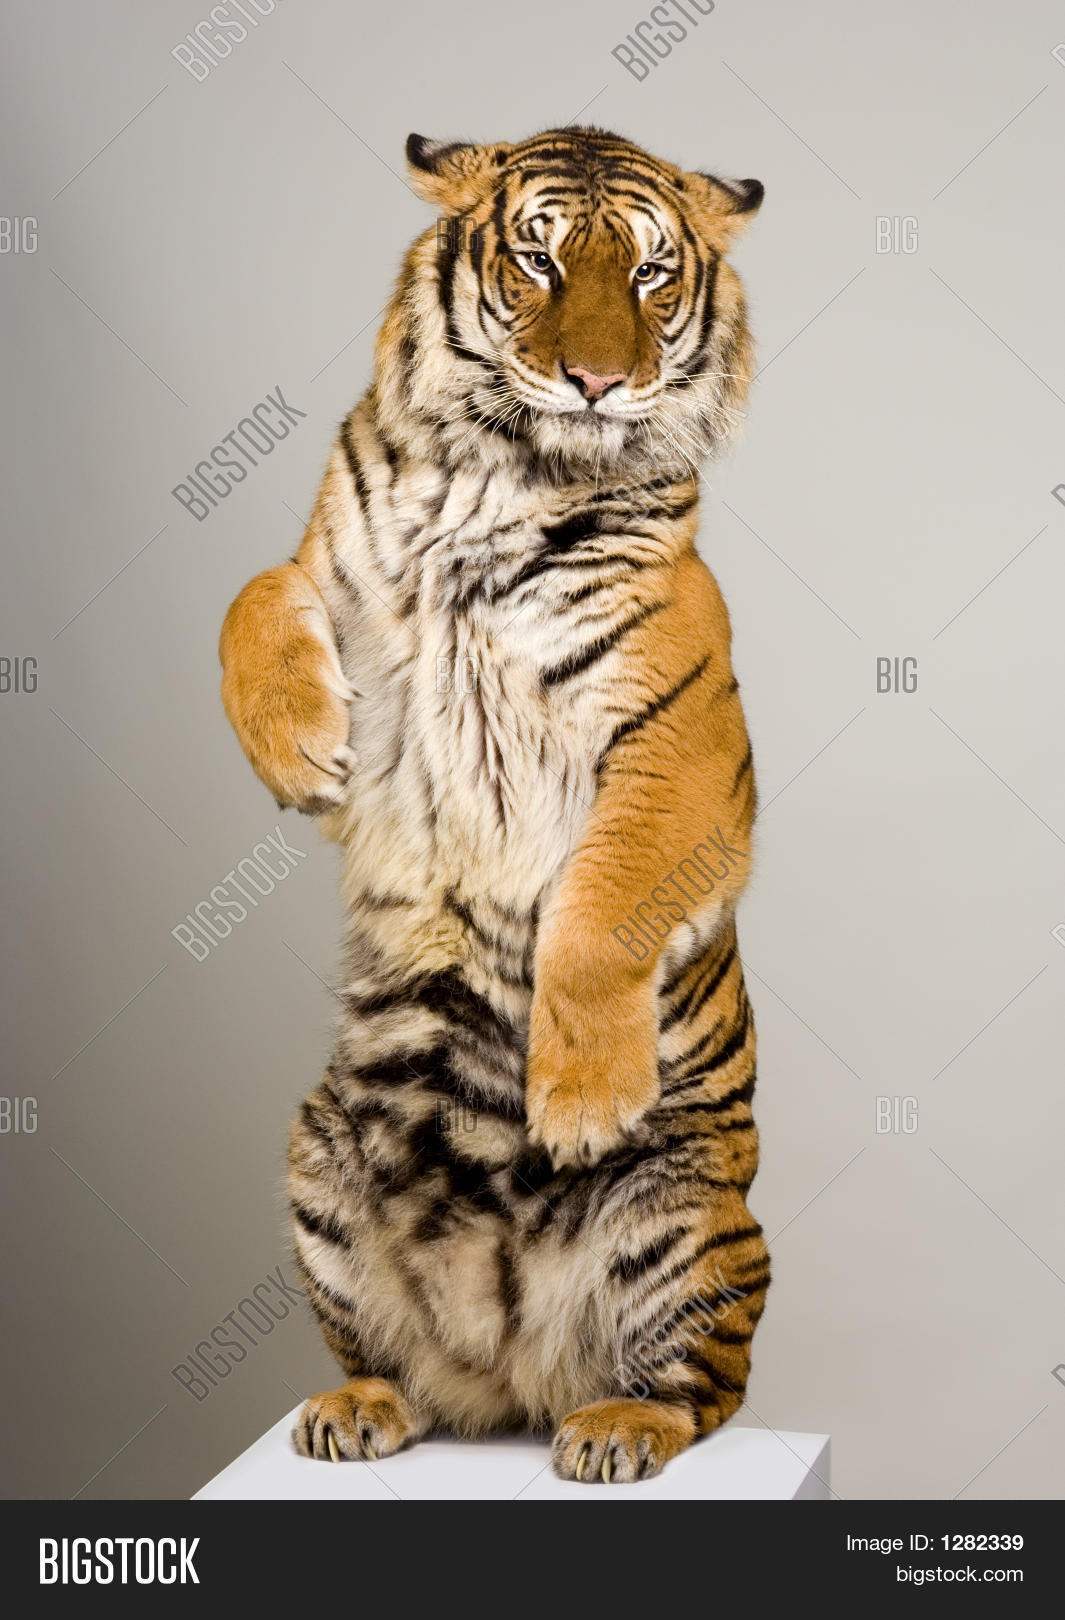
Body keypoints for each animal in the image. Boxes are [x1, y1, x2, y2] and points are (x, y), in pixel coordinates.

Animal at [219, 125, 768, 1484]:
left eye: (650, 275)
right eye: (537, 259)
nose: (596, 383)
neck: (502, 470)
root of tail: (516, 1371)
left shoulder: (681, 738)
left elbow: (605, 901)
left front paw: (577, 1099)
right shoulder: (343, 605)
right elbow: (254, 595)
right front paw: (298, 752)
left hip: (687, 1217)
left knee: (704, 1390)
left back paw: (618, 1429)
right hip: (316, 1158)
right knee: (404, 1372)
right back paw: (357, 1410)